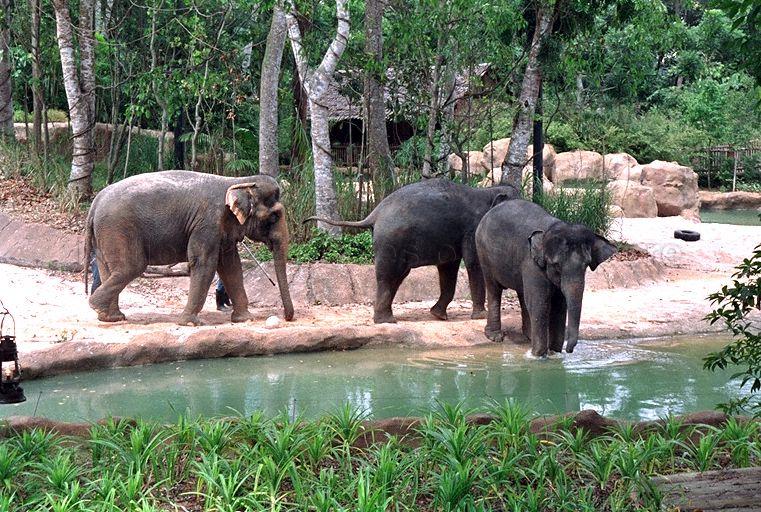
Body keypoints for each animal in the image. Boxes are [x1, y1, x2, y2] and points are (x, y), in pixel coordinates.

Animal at [84, 170, 294, 326]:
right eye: (274, 216)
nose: (287, 318)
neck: (239, 181)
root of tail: (95, 203)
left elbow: (231, 265)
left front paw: (245, 319)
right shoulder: (207, 223)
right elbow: (205, 263)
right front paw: (191, 323)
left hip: (105, 235)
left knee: (108, 269)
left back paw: (111, 317)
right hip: (118, 228)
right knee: (131, 267)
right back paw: (96, 306)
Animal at [307, 178, 519, 323]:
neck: (489, 191)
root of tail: (374, 214)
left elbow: (448, 267)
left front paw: (438, 315)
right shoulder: (471, 229)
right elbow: (473, 263)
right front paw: (480, 316)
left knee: (397, 276)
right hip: (391, 241)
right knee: (388, 276)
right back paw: (386, 321)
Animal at [475, 199, 616, 356]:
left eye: (586, 264)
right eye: (557, 265)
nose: (569, 350)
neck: (549, 229)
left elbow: (559, 305)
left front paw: (555, 353)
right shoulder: (532, 264)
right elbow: (540, 303)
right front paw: (538, 355)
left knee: (523, 294)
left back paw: (528, 336)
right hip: (483, 252)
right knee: (494, 288)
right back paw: (495, 336)